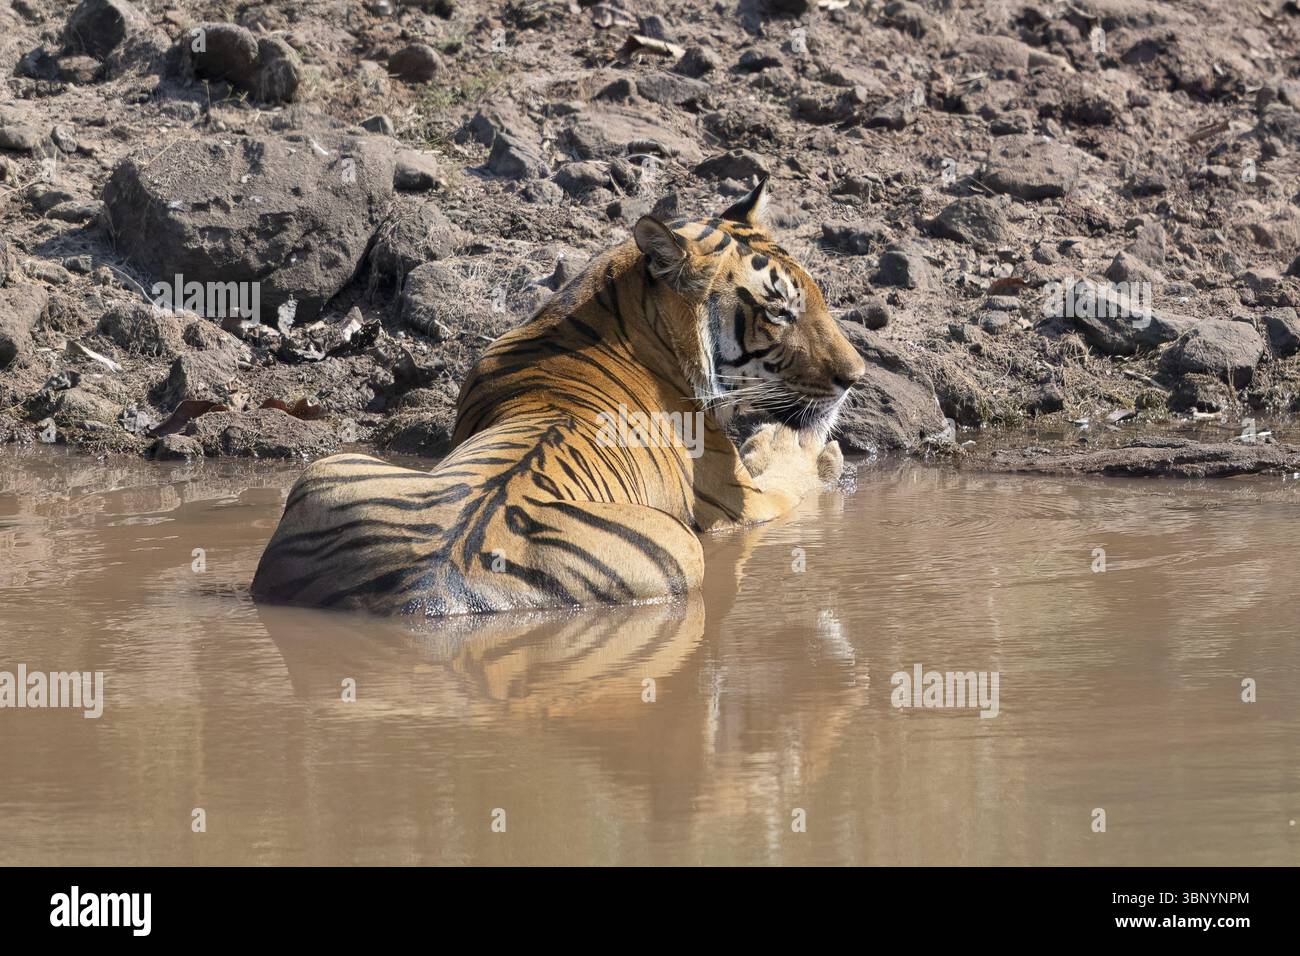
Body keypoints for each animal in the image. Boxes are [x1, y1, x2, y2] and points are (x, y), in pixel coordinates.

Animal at [251, 178, 868, 616]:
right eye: (779, 311)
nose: (856, 376)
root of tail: (438, 583)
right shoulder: (740, 502)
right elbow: (793, 478)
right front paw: (813, 452)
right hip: (682, 547)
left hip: (328, 467)